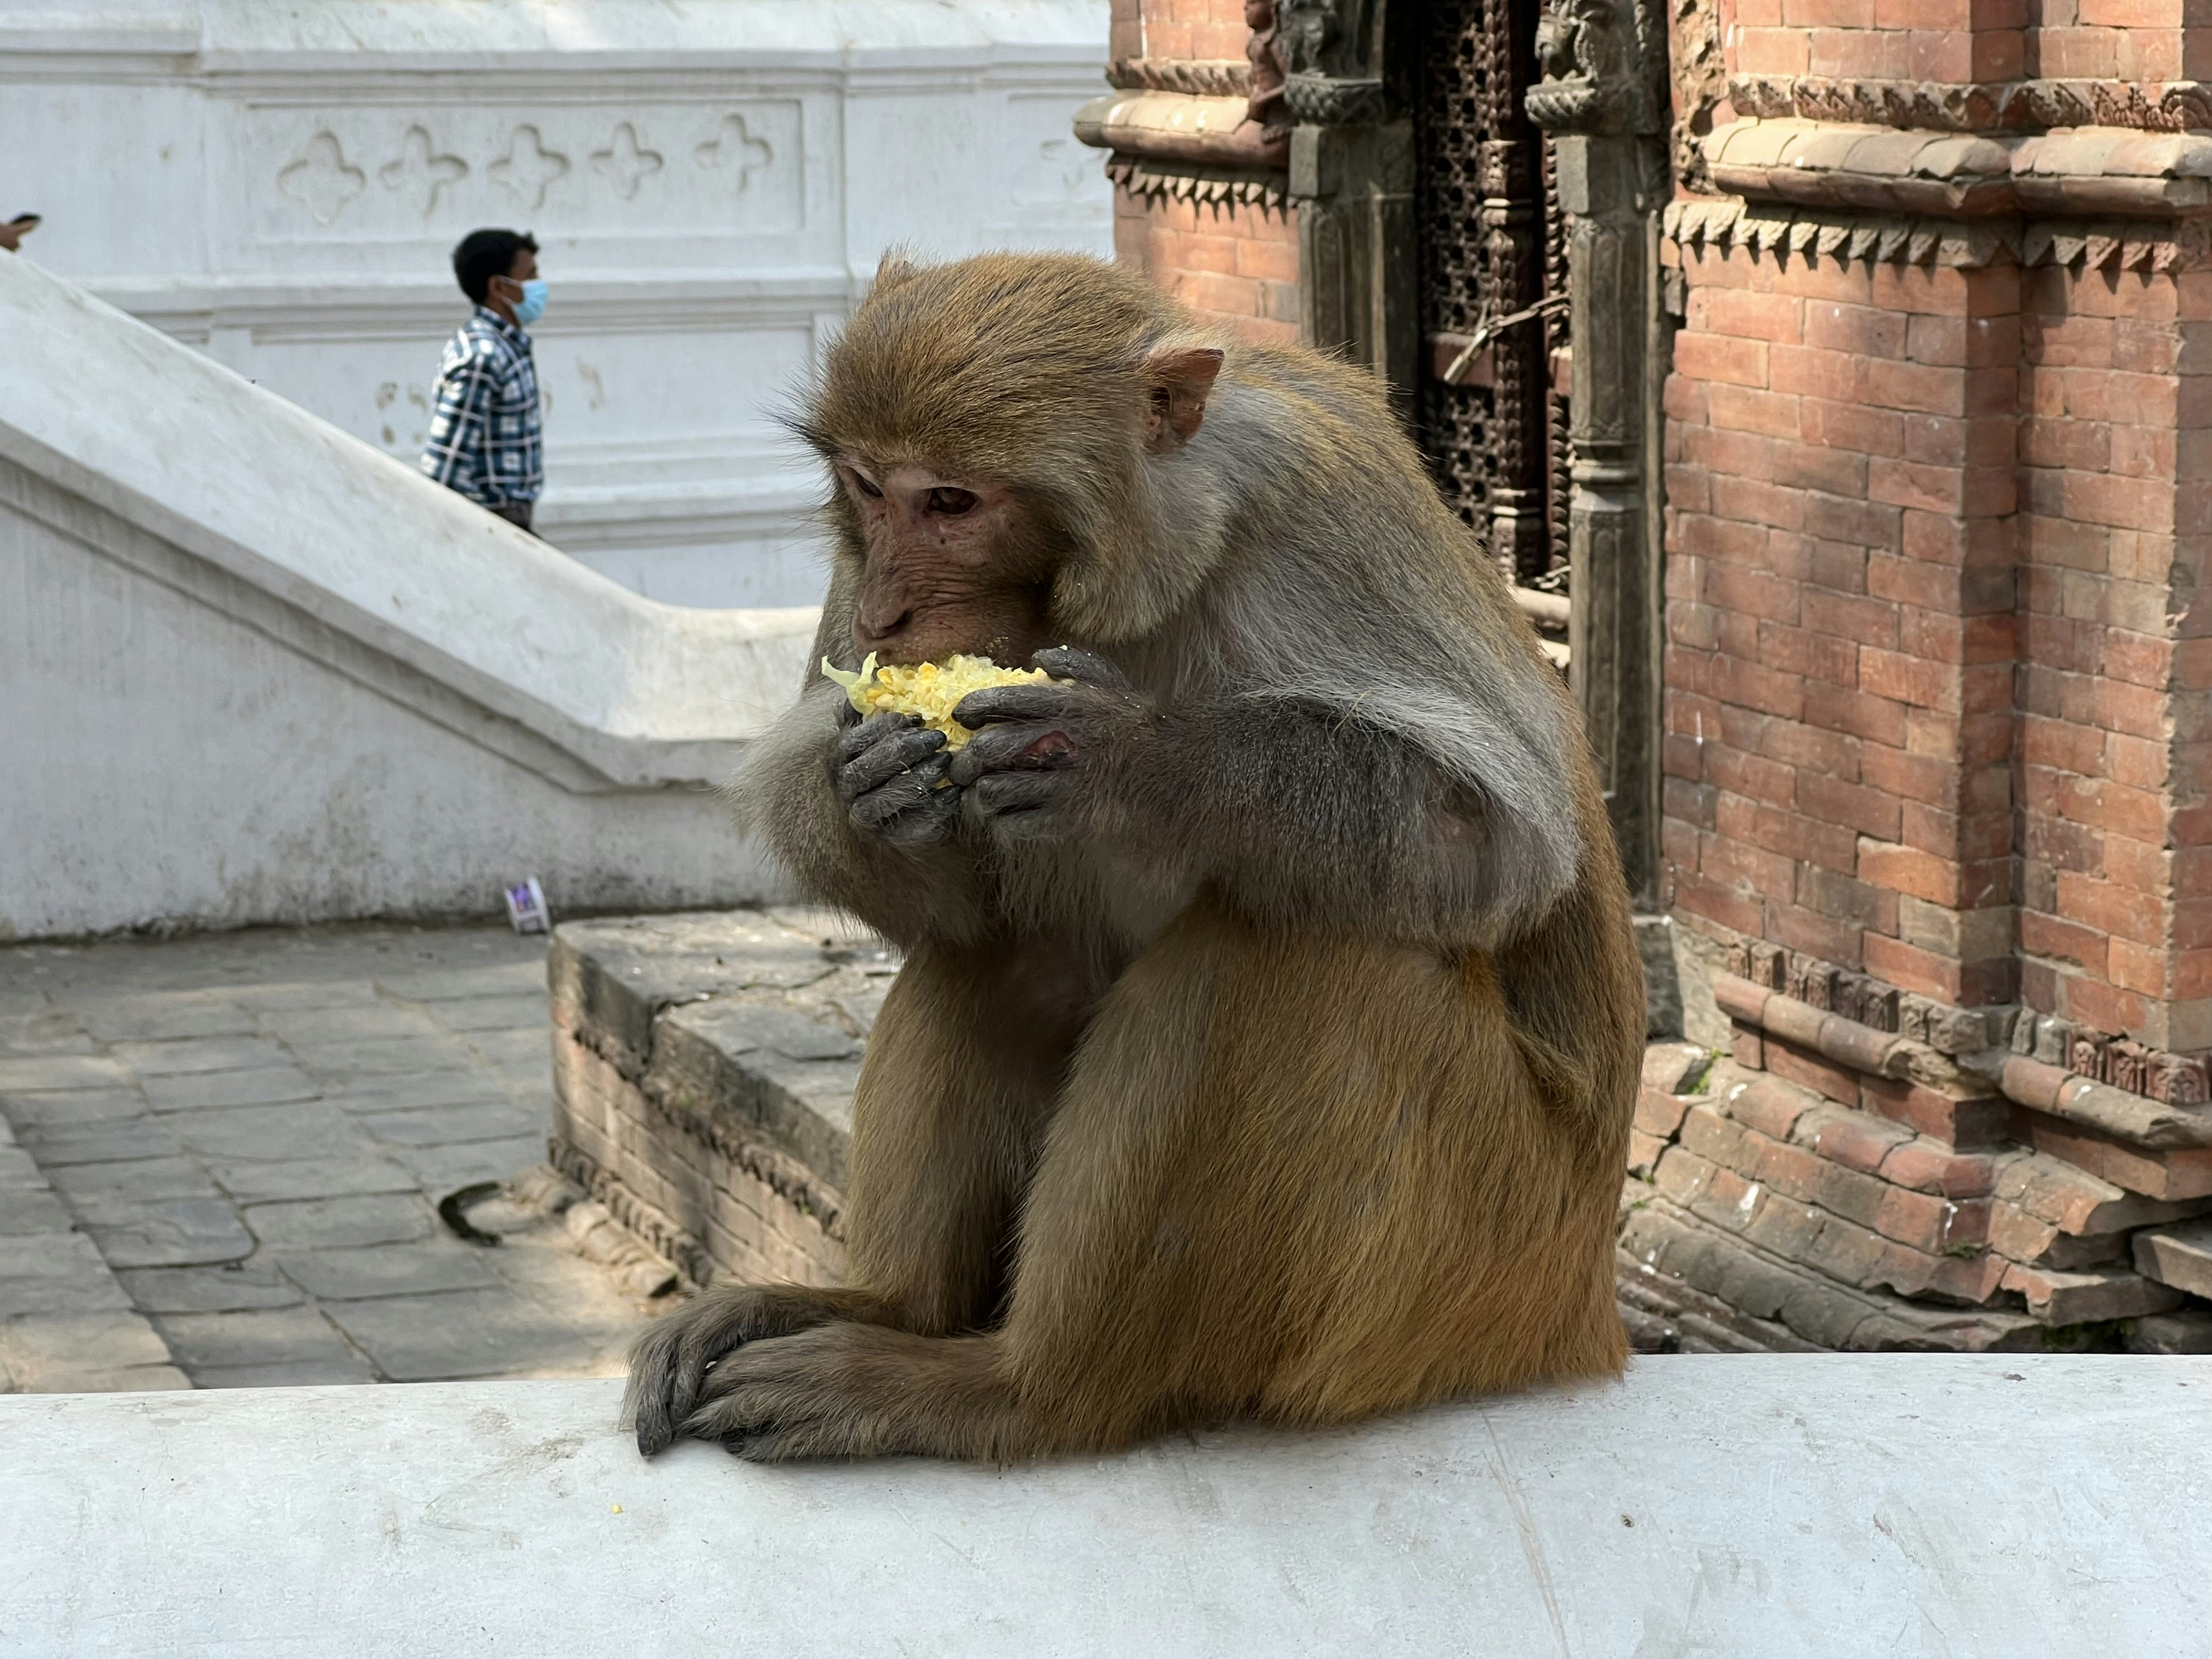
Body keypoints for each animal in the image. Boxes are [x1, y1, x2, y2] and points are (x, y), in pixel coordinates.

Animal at [625, 251, 1644, 1464]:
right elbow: (889, 839)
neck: (1164, 554)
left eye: (952, 502)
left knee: (1293, 949)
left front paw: (1136, 763)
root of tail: (1585, 1314)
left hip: (1474, 1265)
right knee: (1005, 947)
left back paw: (1014, 1388)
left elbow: (1506, 841)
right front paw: (868, 784)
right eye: (871, 488)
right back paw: (892, 1312)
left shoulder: (1323, 510)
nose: (886, 608)